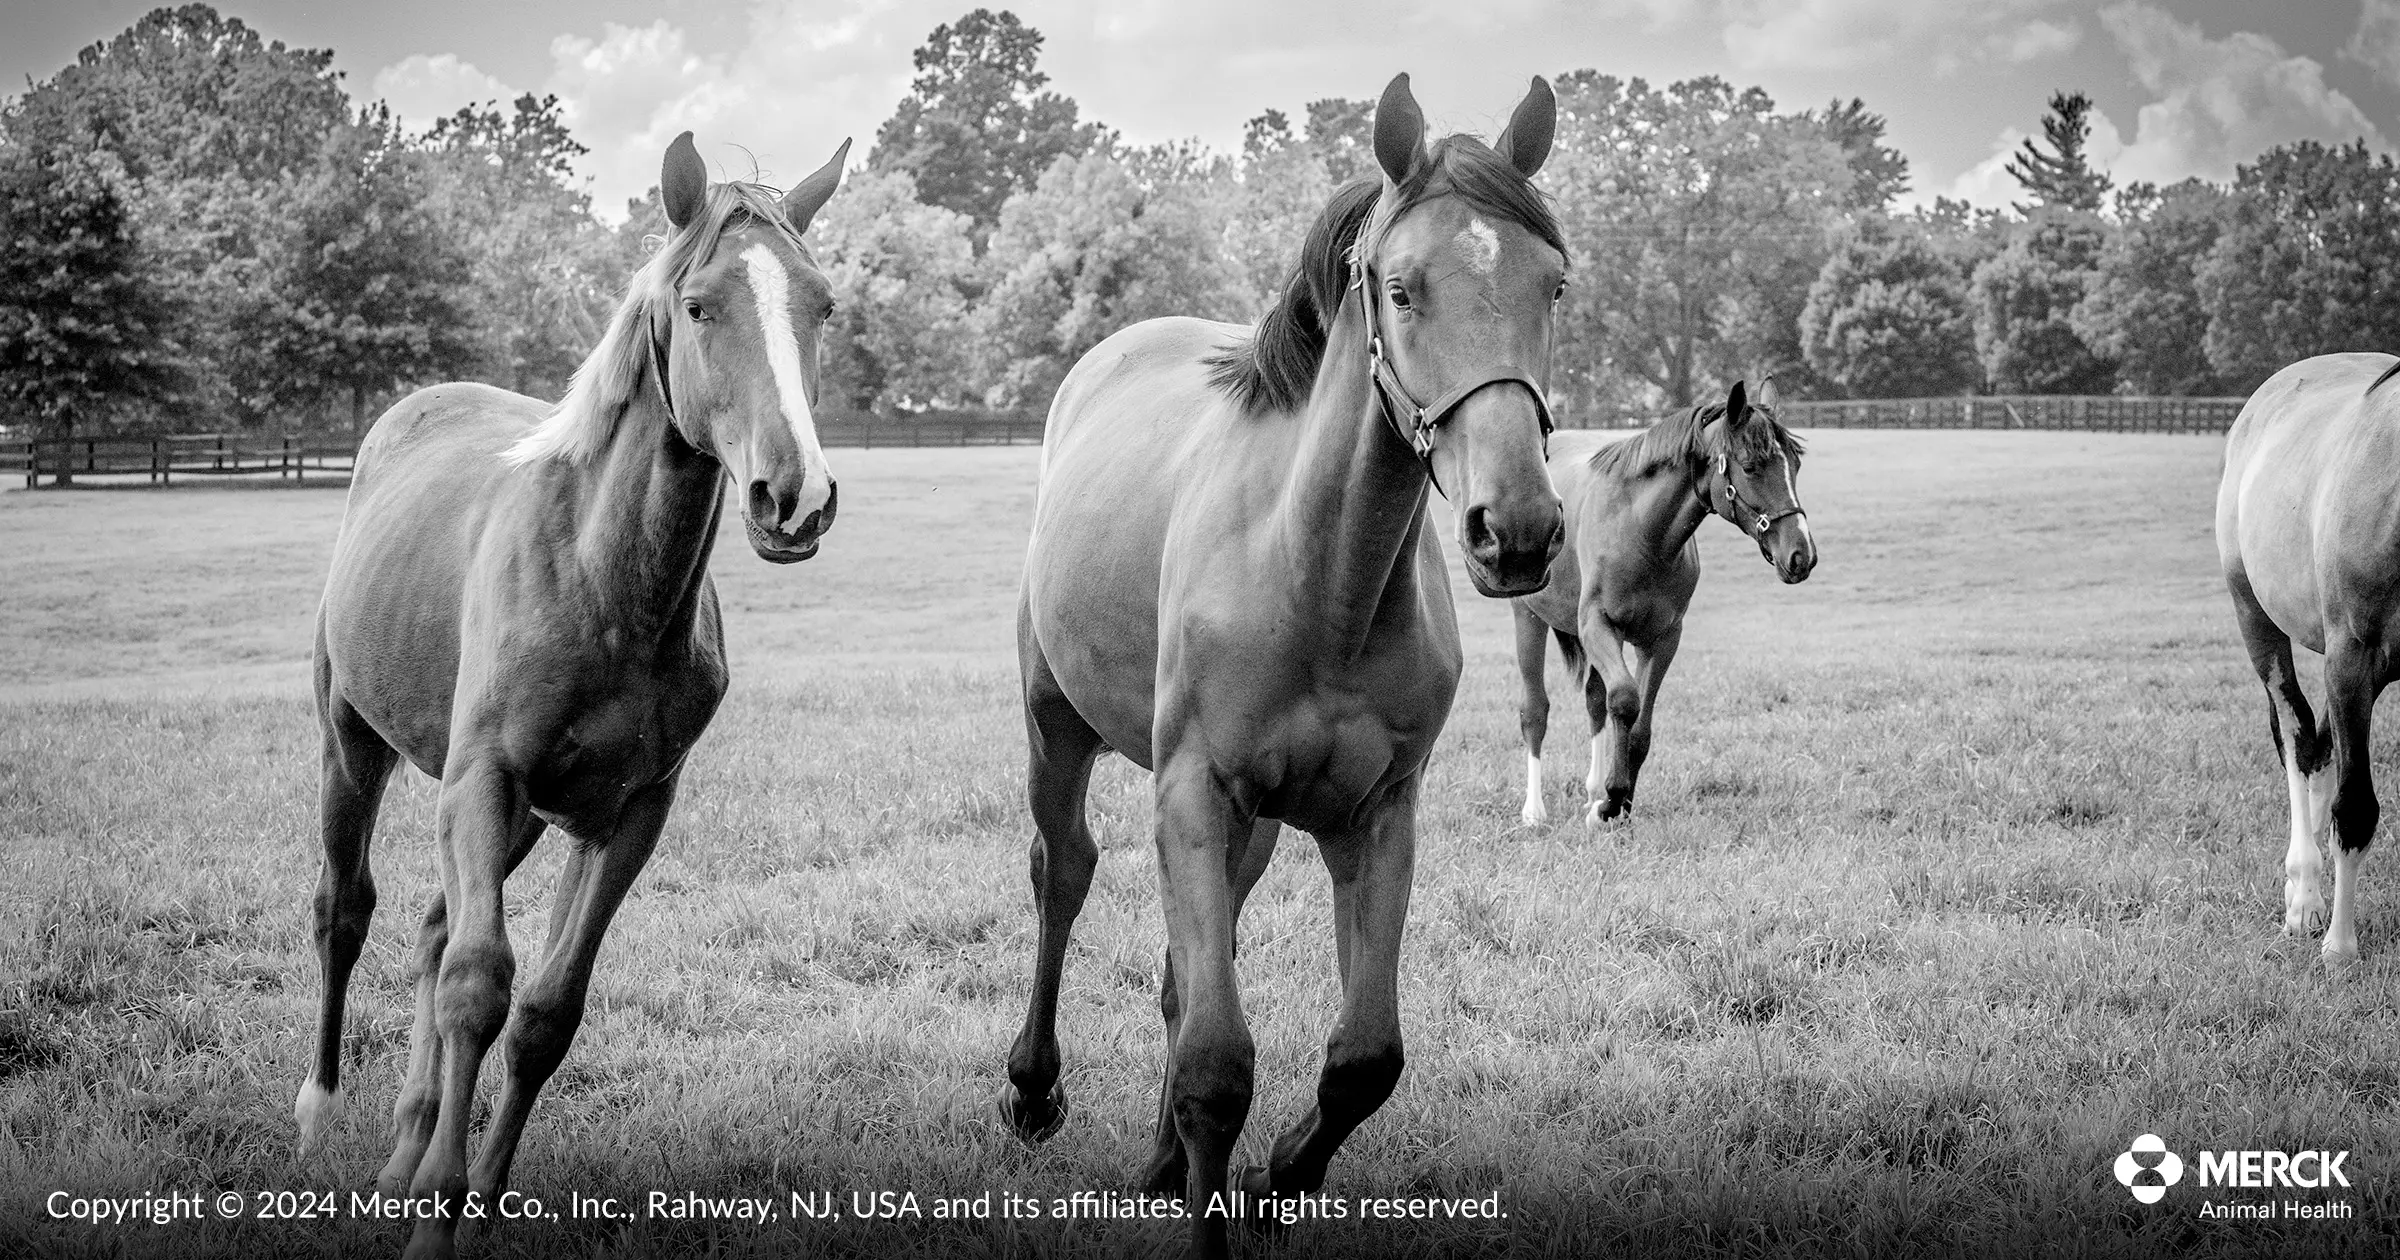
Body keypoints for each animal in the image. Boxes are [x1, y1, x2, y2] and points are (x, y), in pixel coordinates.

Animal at [293, 131, 847, 1260]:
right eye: (699, 305)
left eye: (822, 305)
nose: (795, 497)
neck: (602, 583)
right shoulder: (480, 780)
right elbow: (477, 986)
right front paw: (438, 1219)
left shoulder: (629, 812)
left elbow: (545, 1011)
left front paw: (473, 1195)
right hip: (355, 745)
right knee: (347, 909)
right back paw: (321, 1113)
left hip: (519, 815)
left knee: (429, 929)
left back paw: (407, 1145)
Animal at [998, 73, 1568, 1257]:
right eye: (1402, 286)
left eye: (1554, 285)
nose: (1519, 531)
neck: (1319, 582)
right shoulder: (1190, 792)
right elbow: (1219, 1067)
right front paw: (1222, 1194)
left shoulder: (1377, 815)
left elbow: (1362, 1060)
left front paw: (1267, 1181)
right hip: (1055, 726)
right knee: (1062, 871)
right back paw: (1033, 1091)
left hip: (1249, 826)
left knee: (1186, 971)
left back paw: (1164, 1162)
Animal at [1512, 379, 1814, 826]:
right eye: (1750, 466)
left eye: (1794, 465)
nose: (1801, 555)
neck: (1639, 531)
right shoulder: (1598, 626)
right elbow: (1625, 701)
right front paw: (1613, 800)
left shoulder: (1663, 638)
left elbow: (1638, 727)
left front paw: (1615, 805)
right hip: (1528, 617)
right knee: (1535, 710)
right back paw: (1535, 810)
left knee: (1594, 701)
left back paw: (1591, 792)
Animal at [2217, 351, 2400, 968]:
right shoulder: (2352, 658)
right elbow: (2356, 806)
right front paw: (2339, 948)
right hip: (2262, 624)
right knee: (2298, 737)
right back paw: (2306, 899)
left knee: (2320, 749)